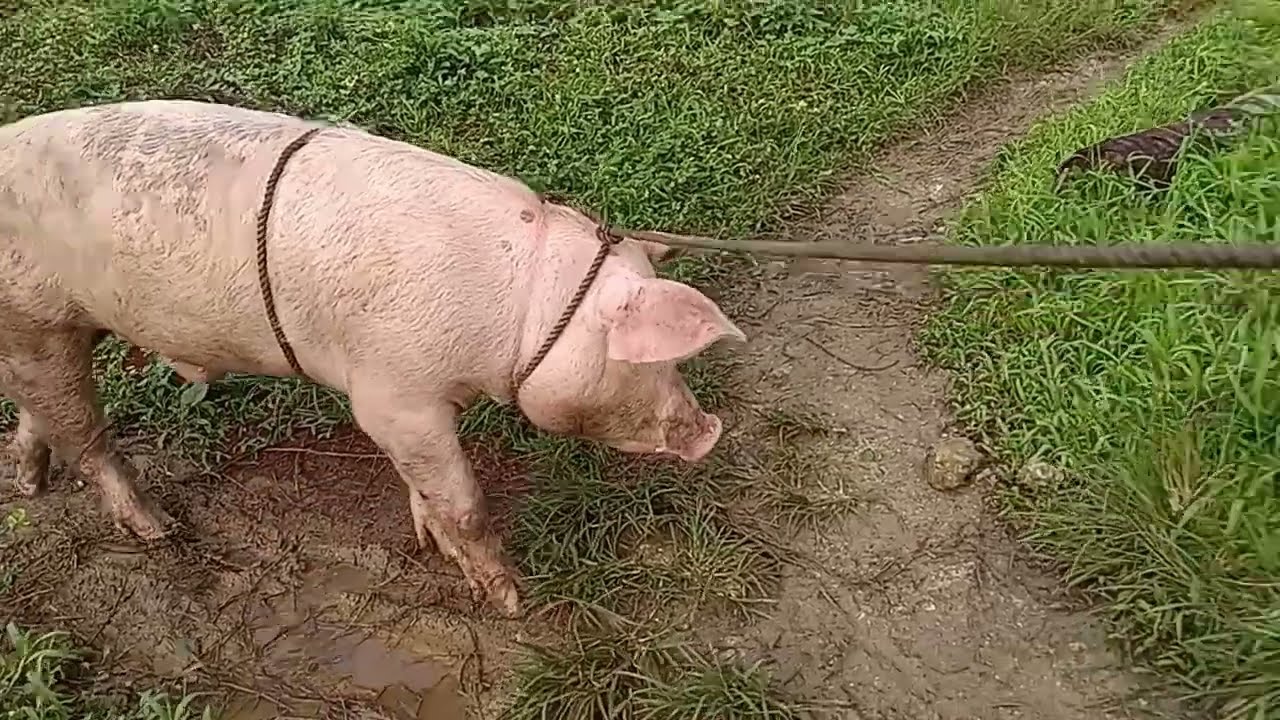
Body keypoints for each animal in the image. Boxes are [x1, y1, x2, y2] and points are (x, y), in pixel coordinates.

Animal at [0, 100, 745, 617]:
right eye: (653, 358)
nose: (710, 431)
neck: (516, 316)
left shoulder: (409, 406)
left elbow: (428, 487)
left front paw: (429, 539)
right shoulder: (392, 396)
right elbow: (464, 501)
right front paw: (509, 601)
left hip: (49, 330)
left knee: (41, 412)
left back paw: (30, 486)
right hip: (35, 320)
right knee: (86, 435)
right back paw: (157, 532)